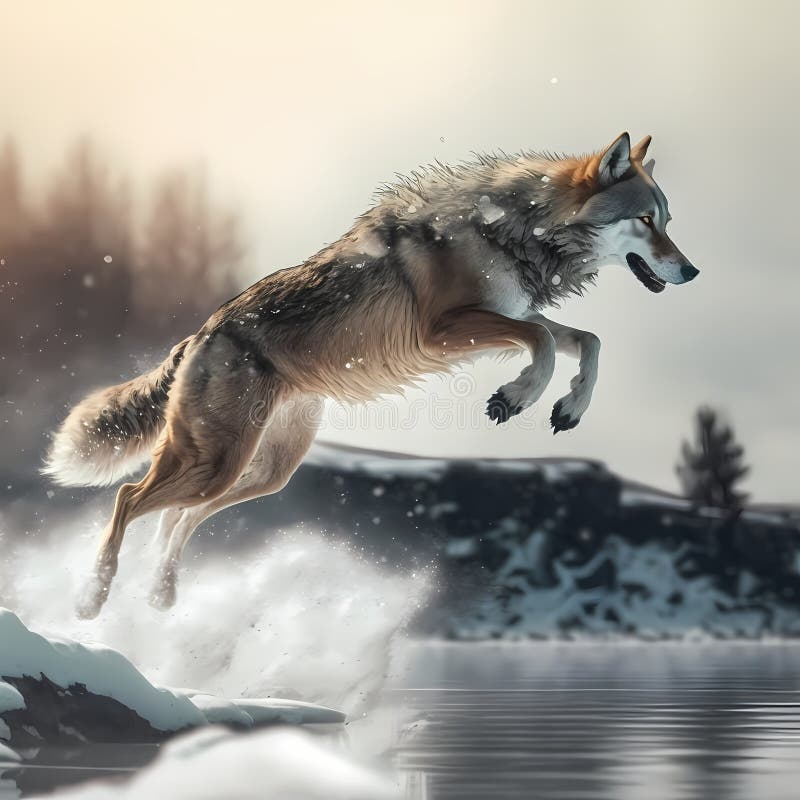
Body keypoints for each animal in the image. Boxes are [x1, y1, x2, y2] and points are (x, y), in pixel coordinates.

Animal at [43, 132, 699, 617]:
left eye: (667, 220)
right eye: (646, 220)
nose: (691, 271)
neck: (515, 229)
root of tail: (199, 333)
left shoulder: (512, 313)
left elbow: (586, 340)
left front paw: (568, 406)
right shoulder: (447, 328)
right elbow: (543, 343)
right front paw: (514, 398)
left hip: (260, 474)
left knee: (175, 517)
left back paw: (161, 594)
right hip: (216, 464)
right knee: (128, 497)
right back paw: (91, 599)